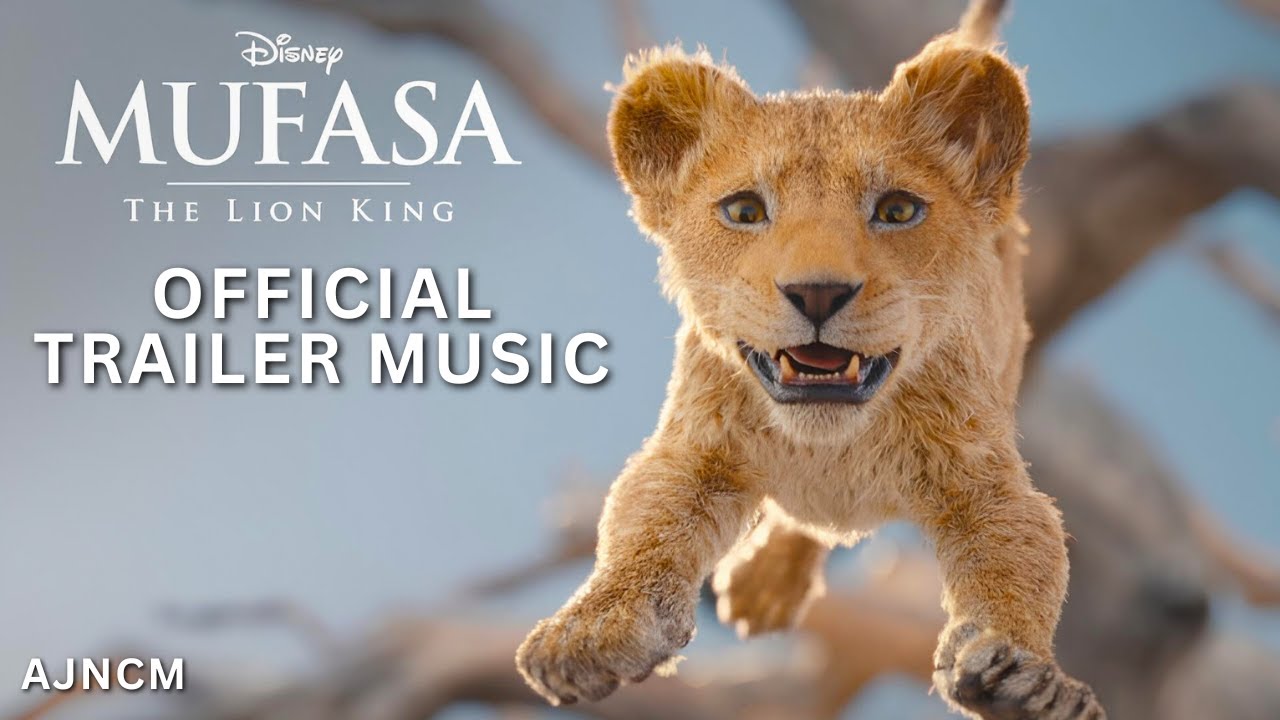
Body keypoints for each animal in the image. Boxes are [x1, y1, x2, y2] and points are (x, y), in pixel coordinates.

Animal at [515, 14, 1105, 720]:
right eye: (744, 211)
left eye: (898, 210)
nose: (818, 293)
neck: (833, 447)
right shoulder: (695, 448)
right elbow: (643, 527)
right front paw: (590, 630)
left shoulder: (983, 477)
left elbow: (1020, 560)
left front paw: (1020, 674)